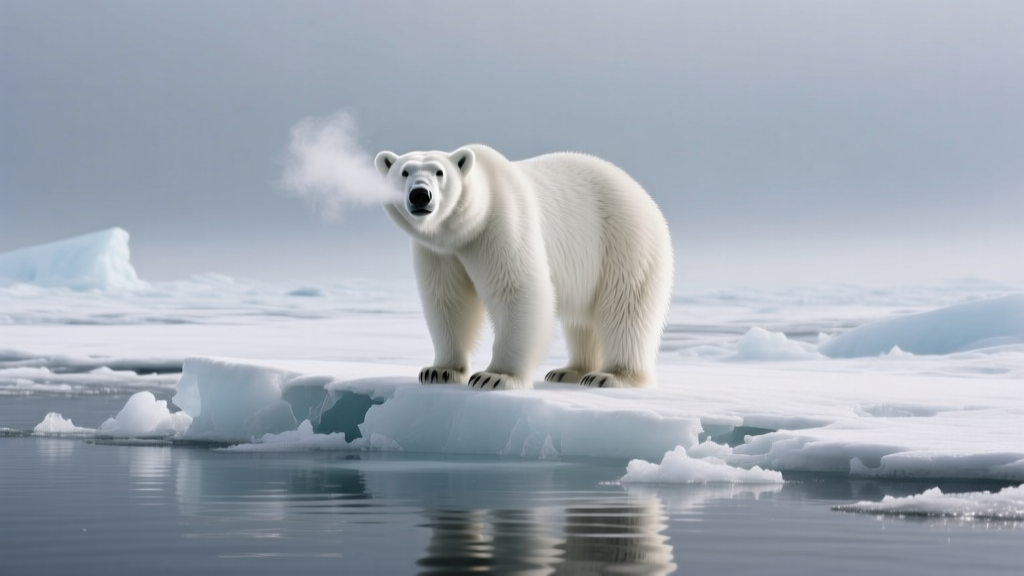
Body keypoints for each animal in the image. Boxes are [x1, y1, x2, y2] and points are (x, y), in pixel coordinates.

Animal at [374, 144, 672, 390]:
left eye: (439, 172)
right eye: (404, 172)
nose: (420, 195)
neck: (465, 229)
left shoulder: (502, 223)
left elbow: (517, 290)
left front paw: (494, 376)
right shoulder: (439, 253)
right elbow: (448, 299)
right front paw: (440, 371)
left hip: (624, 243)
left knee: (625, 308)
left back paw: (611, 375)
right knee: (581, 320)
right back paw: (570, 371)